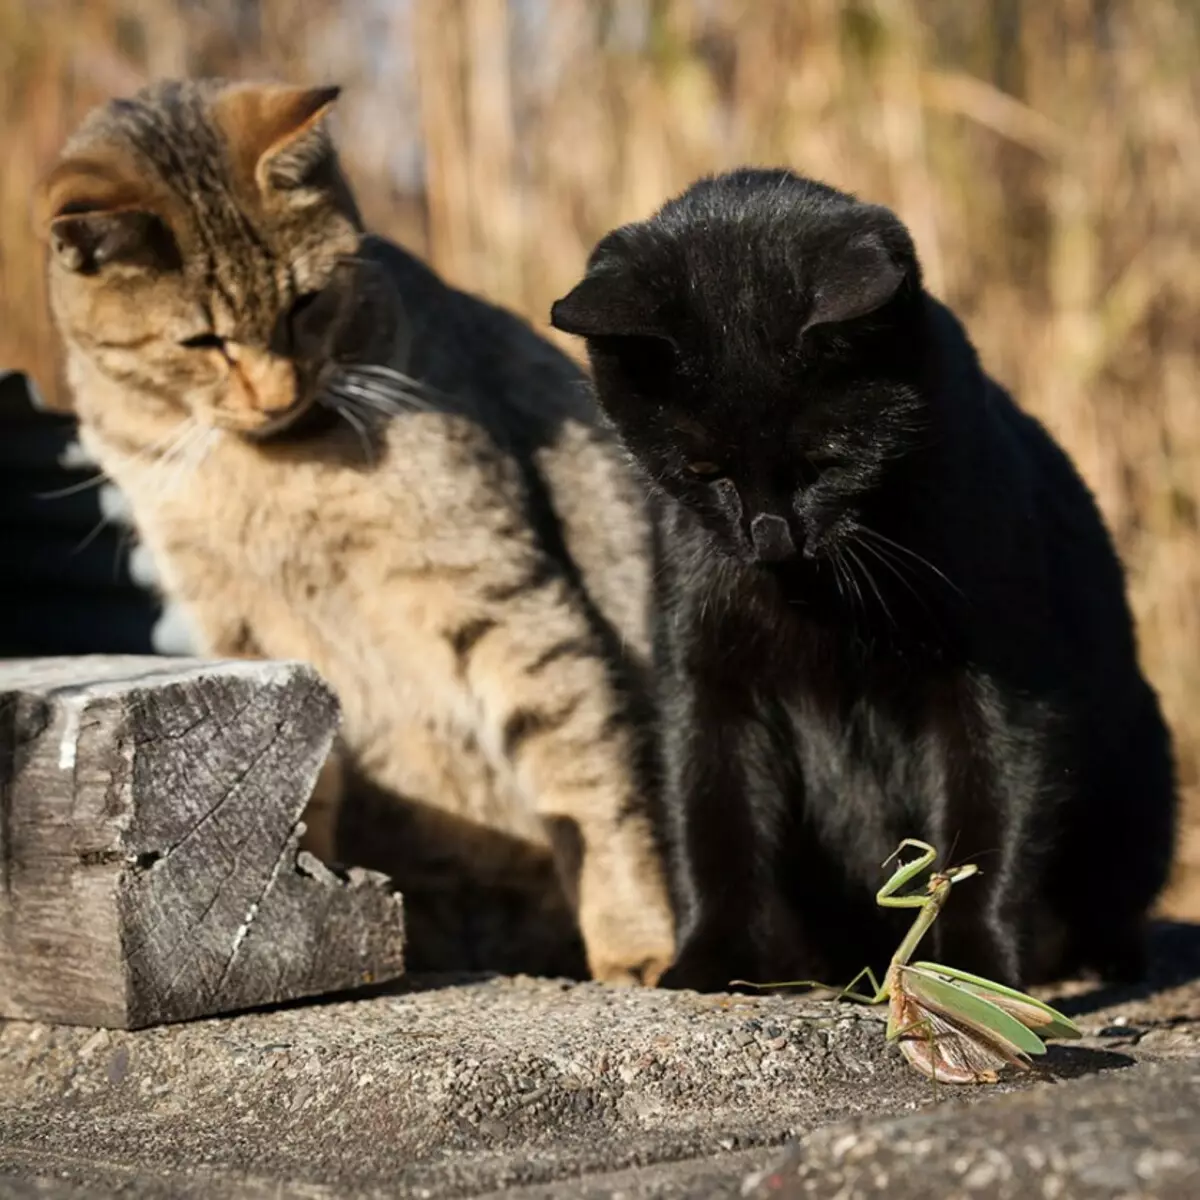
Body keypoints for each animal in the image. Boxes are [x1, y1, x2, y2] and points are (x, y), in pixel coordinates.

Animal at [37, 82, 676, 984]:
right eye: (200, 340)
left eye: (306, 303)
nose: (276, 392)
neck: (262, 469)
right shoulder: (237, 624)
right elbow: (309, 776)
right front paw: (295, 898)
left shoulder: (498, 585)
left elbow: (587, 777)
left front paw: (636, 940)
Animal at [549, 171, 1171, 993]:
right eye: (703, 470)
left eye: (825, 461)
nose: (769, 535)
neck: (823, 602)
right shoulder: (706, 681)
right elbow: (711, 828)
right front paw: (711, 961)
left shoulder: (1003, 687)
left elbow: (988, 830)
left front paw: (974, 969)